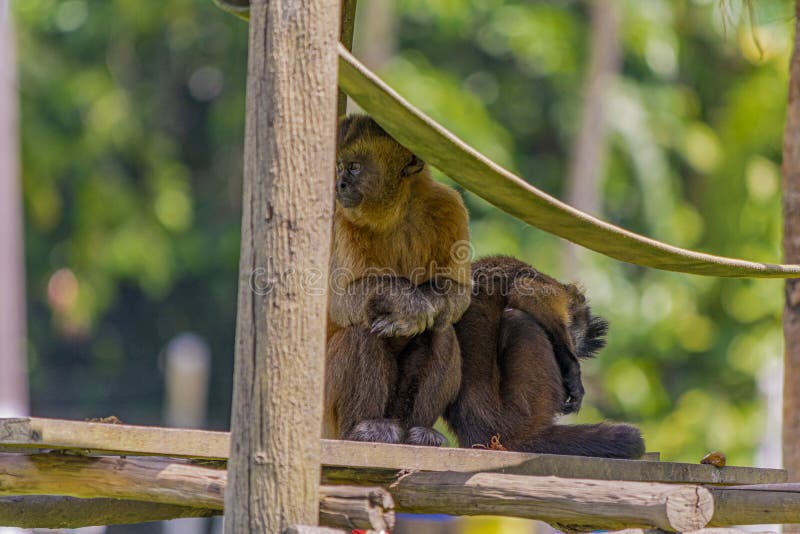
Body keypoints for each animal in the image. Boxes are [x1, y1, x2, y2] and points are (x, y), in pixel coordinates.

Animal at [324, 114, 471, 447]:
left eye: (354, 167)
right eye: (339, 167)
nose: (340, 183)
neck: (397, 211)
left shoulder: (449, 206)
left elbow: (458, 294)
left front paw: (418, 306)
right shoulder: (340, 217)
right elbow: (339, 302)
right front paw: (406, 301)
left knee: (441, 329)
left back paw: (417, 430)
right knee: (362, 326)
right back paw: (363, 428)